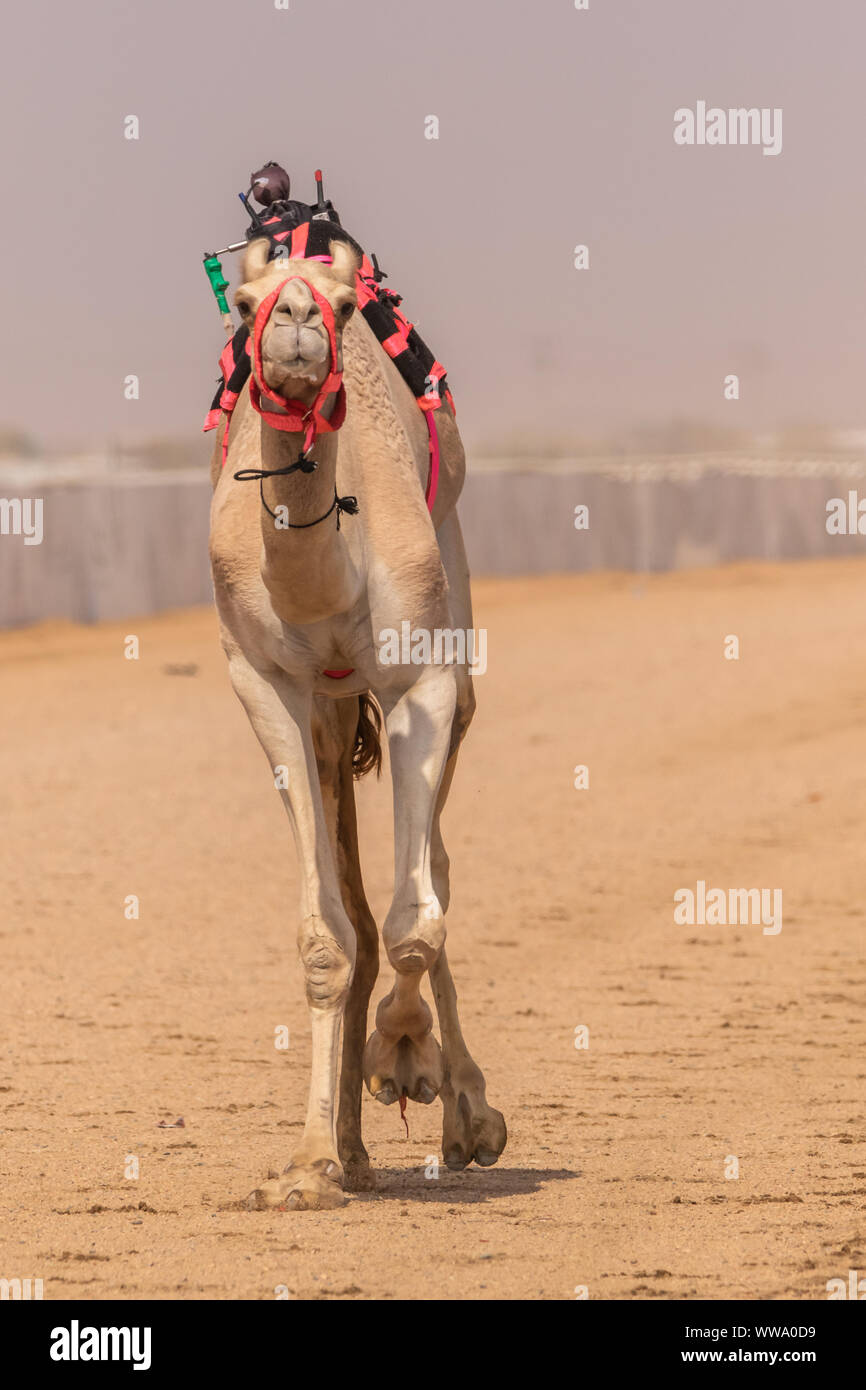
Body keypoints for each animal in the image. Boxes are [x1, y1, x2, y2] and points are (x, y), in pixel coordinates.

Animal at [208, 235, 507, 1209]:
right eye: (246, 303)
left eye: (341, 308)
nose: (298, 322)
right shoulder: (263, 679)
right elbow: (325, 938)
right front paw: (307, 1165)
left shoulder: (423, 677)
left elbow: (420, 915)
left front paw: (403, 1059)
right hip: (334, 713)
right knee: (358, 895)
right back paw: (353, 1149)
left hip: (451, 604)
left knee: (434, 868)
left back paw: (465, 1118)